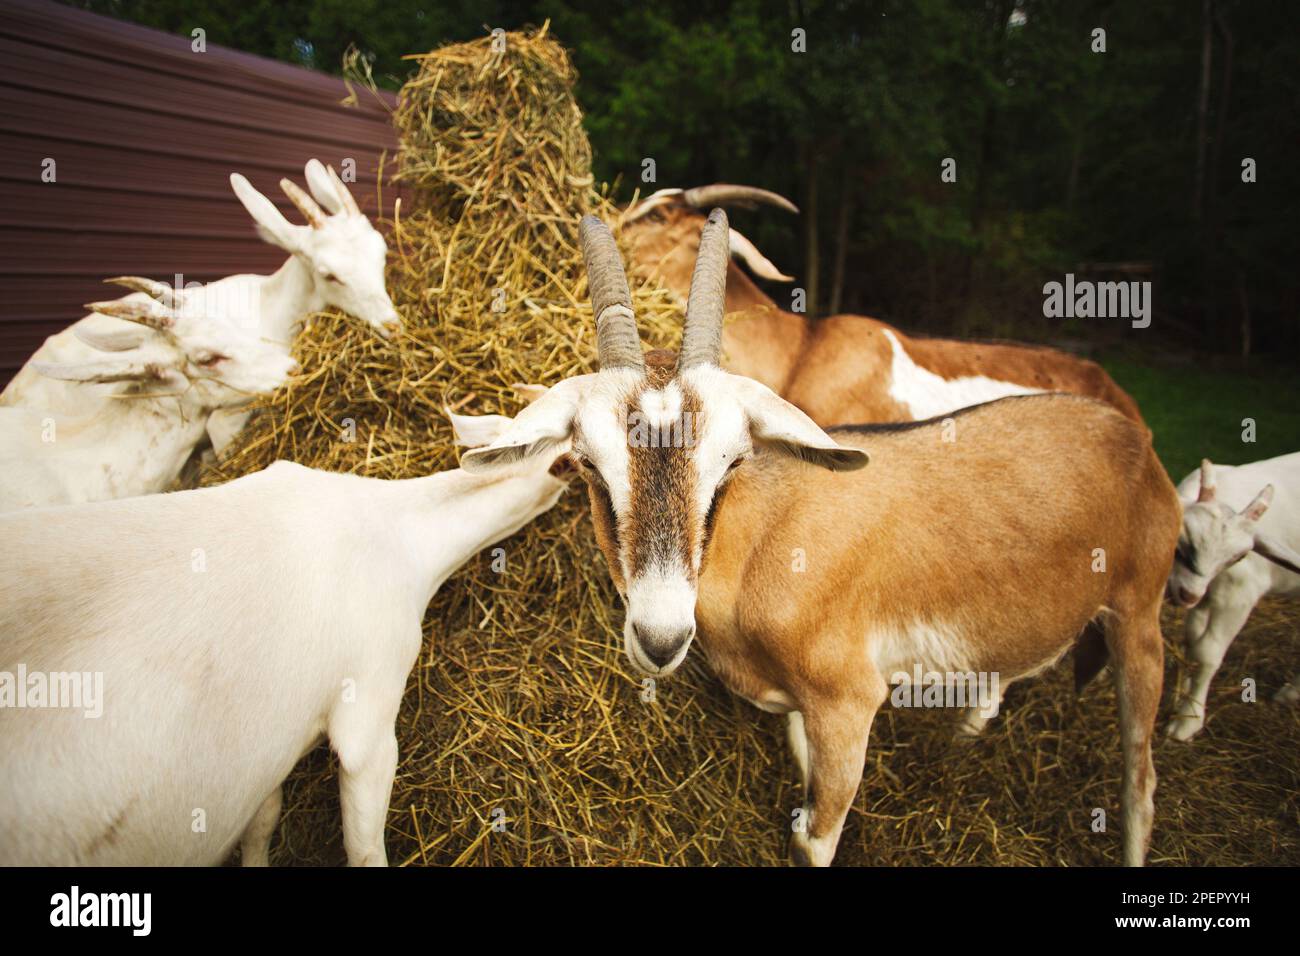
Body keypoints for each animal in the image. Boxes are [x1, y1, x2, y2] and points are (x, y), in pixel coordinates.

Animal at [461, 210, 1180, 866]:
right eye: (588, 464)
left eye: (733, 461)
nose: (660, 638)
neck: (764, 541)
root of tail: (1136, 440)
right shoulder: (803, 717)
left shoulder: (848, 703)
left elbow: (813, 838)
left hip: (1139, 618)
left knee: (1141, 781)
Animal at [1165, 455, 1300, 741]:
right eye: (1182, 539)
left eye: (1239, 557)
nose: (1188, 594)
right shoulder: (1205, 598)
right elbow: (1193, 639)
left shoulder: (1237, 597)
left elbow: (1207, 652)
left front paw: (1188, 719)